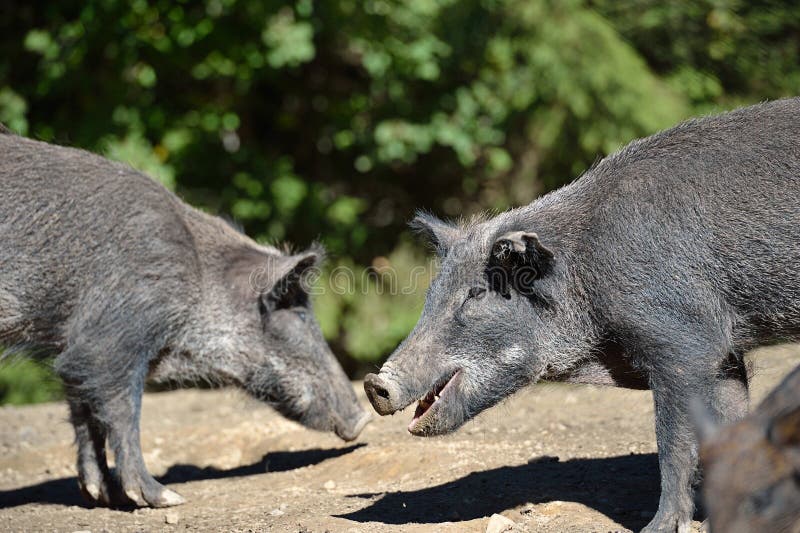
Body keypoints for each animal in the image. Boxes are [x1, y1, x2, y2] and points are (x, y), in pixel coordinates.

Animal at [0, 131, 370, 508]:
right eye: (298, 312)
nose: (364, 418)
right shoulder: (108, 340)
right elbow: (122, 412)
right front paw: (164, 497)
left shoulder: (74, 349)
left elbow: (84, 415)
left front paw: (102, 496)